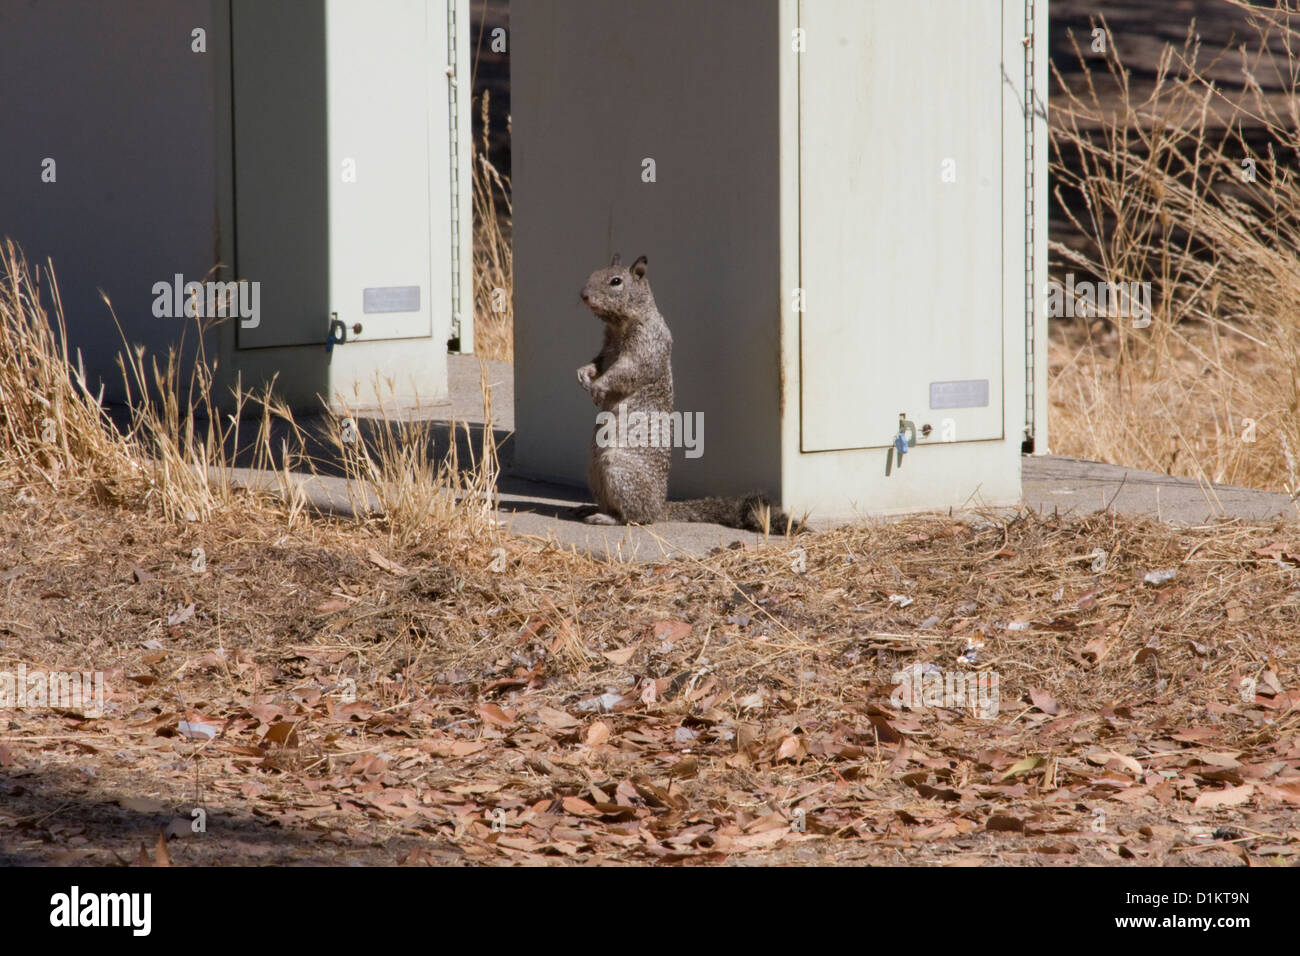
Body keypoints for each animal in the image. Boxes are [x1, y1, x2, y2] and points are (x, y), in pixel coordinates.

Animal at [575, 254, 793, 533]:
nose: (584, 295)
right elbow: (598, 363)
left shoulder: (646, 346)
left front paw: (599, 385)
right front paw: (583, 373)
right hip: (593, 470)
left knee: (637, 517)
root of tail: (660, 507)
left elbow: (625, 371)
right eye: (594, 272)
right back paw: (588, 508)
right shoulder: (606, 349)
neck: (619, 326)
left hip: (617, 470)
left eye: (616, 281)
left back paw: (606, 518)